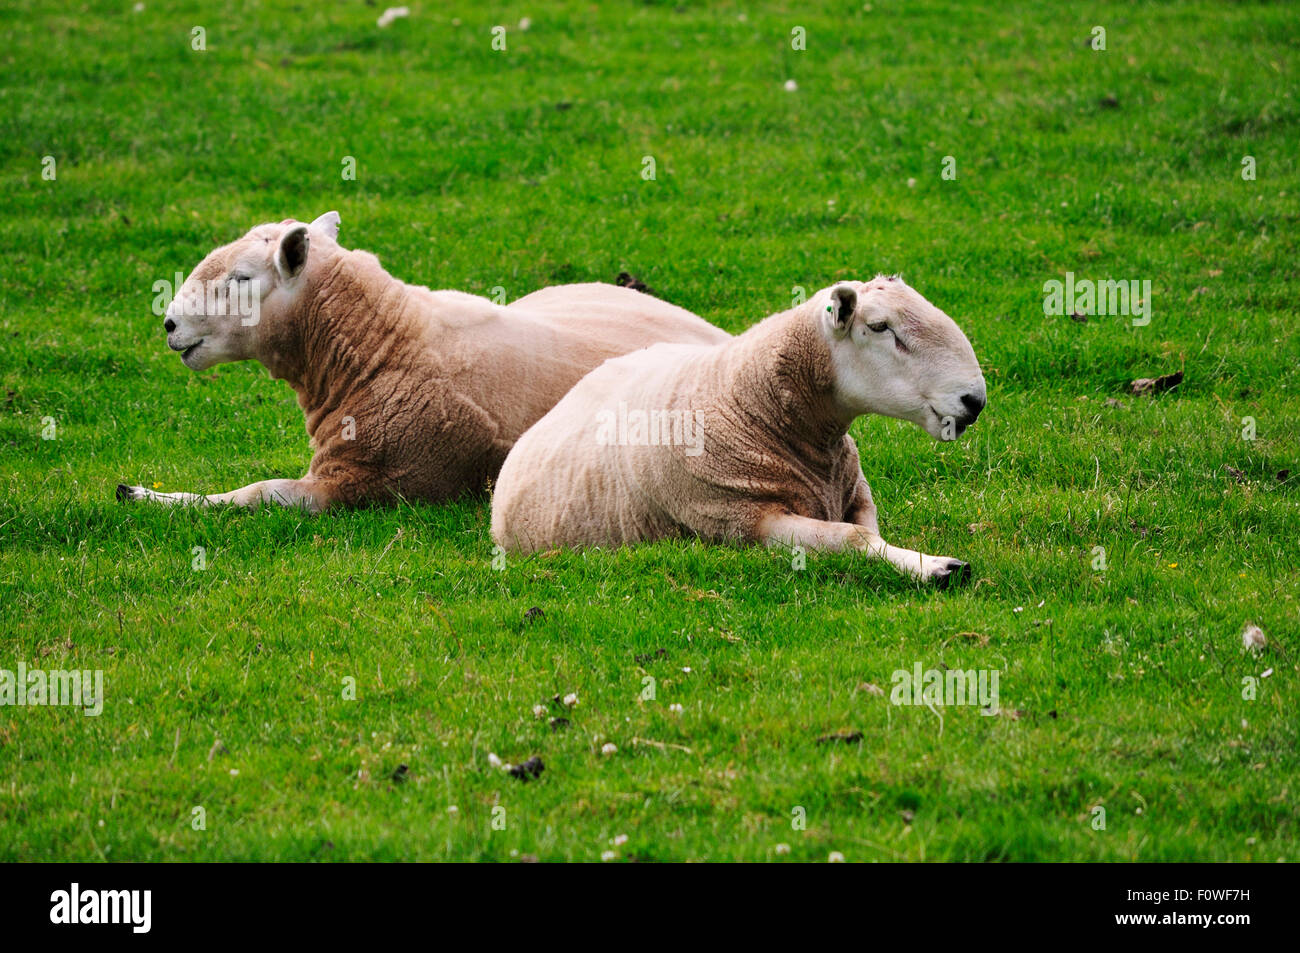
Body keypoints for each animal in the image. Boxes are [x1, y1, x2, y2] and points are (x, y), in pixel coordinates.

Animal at [117, 212, 729, 512]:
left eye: (243, 279)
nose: (169, 324)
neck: (388, 342)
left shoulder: (362, 483)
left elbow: (259, 494)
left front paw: (152, 498)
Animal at [491, 276, 987, 587]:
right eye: (881, 327)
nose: (974, 401)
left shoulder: (854, 497)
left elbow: (871, 533)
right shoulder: (741, 520)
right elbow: (853, 539)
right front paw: (936, 567)